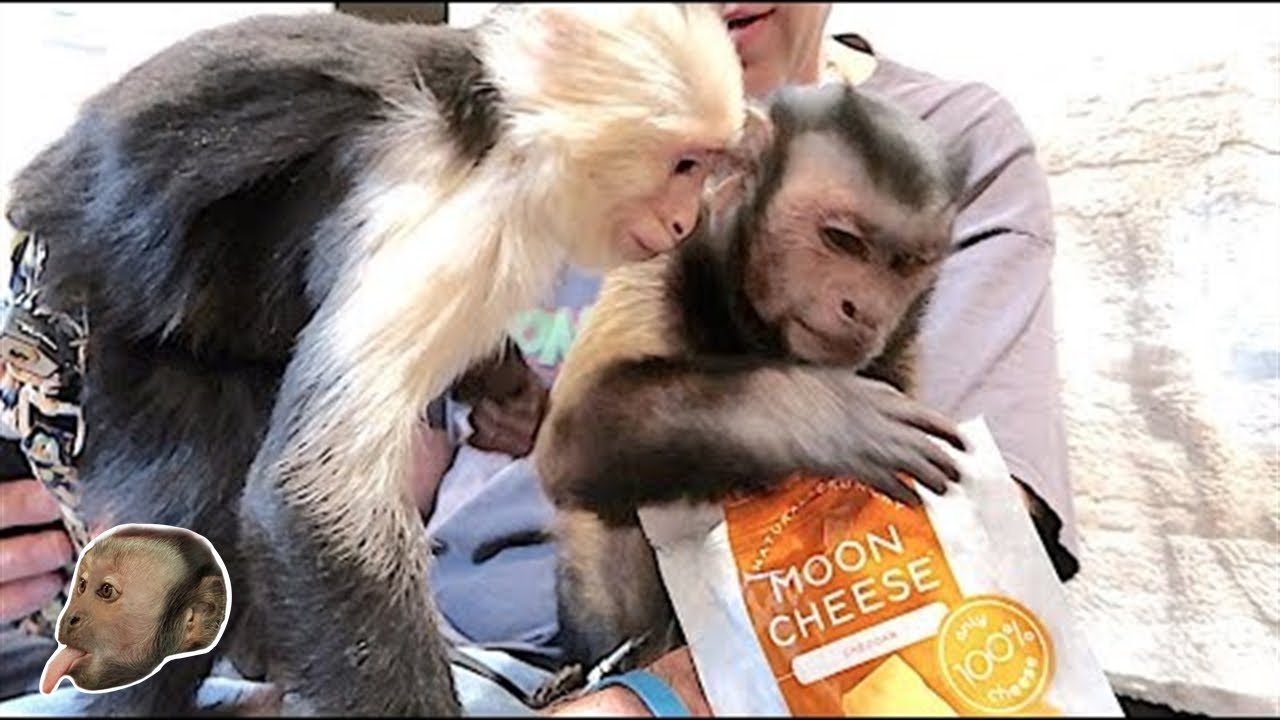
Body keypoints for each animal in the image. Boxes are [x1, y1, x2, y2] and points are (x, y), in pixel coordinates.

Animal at [531, 80, 971, 680]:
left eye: (906, 264)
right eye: (841, 240)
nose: (863, 309)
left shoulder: (899, 345)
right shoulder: (668, 261)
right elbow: (572, 440)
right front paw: (821, 416)